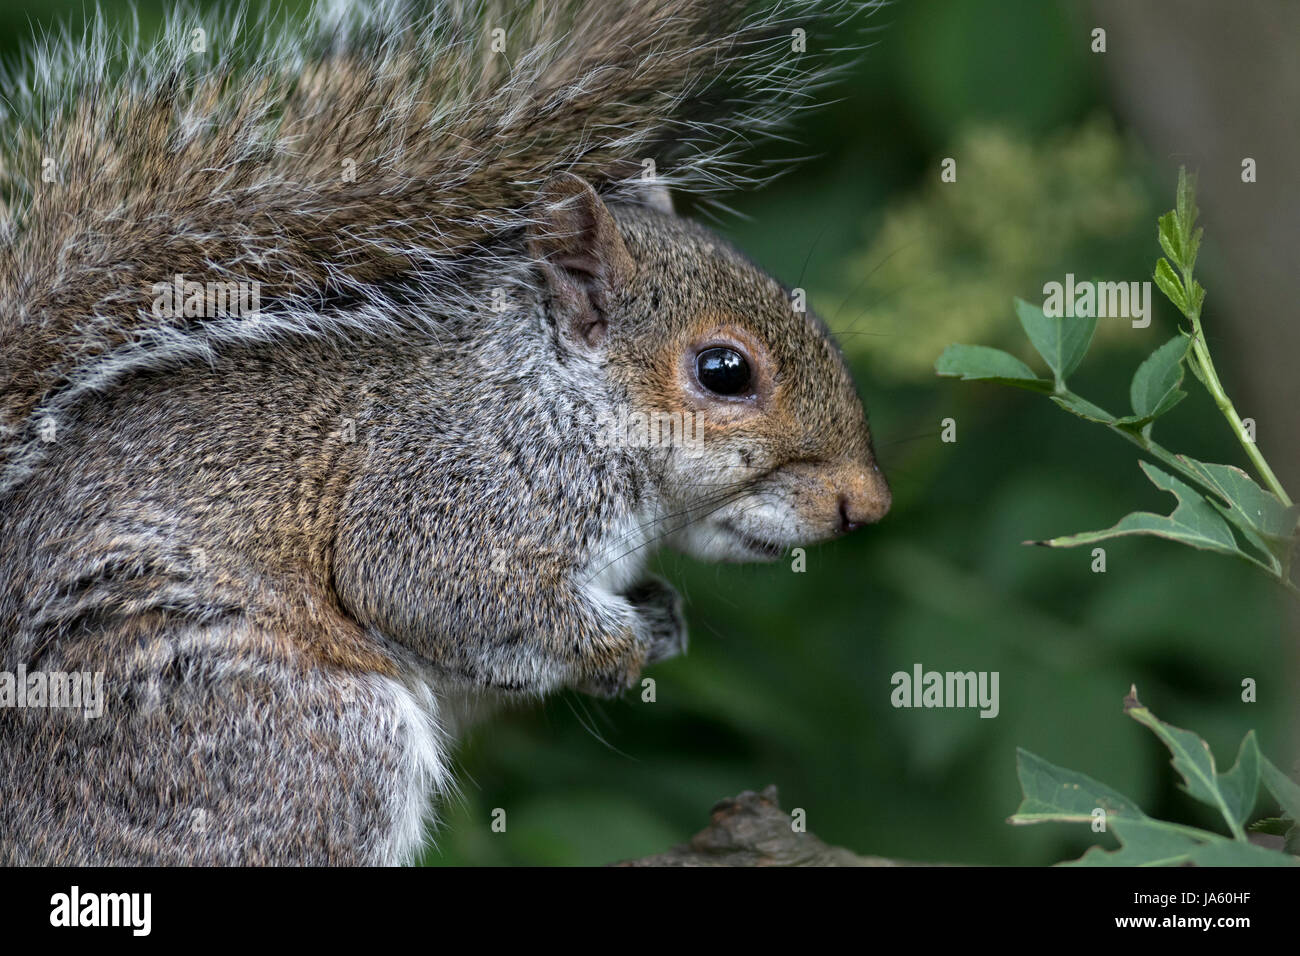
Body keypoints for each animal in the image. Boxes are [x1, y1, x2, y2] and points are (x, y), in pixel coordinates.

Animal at [0, 0, 890, 864]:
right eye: (723, 371)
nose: (869, 505)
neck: (559, 397)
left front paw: (661, 620)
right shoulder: (448, 486)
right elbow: (421, 586)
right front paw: (619, 649)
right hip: (290, 738)